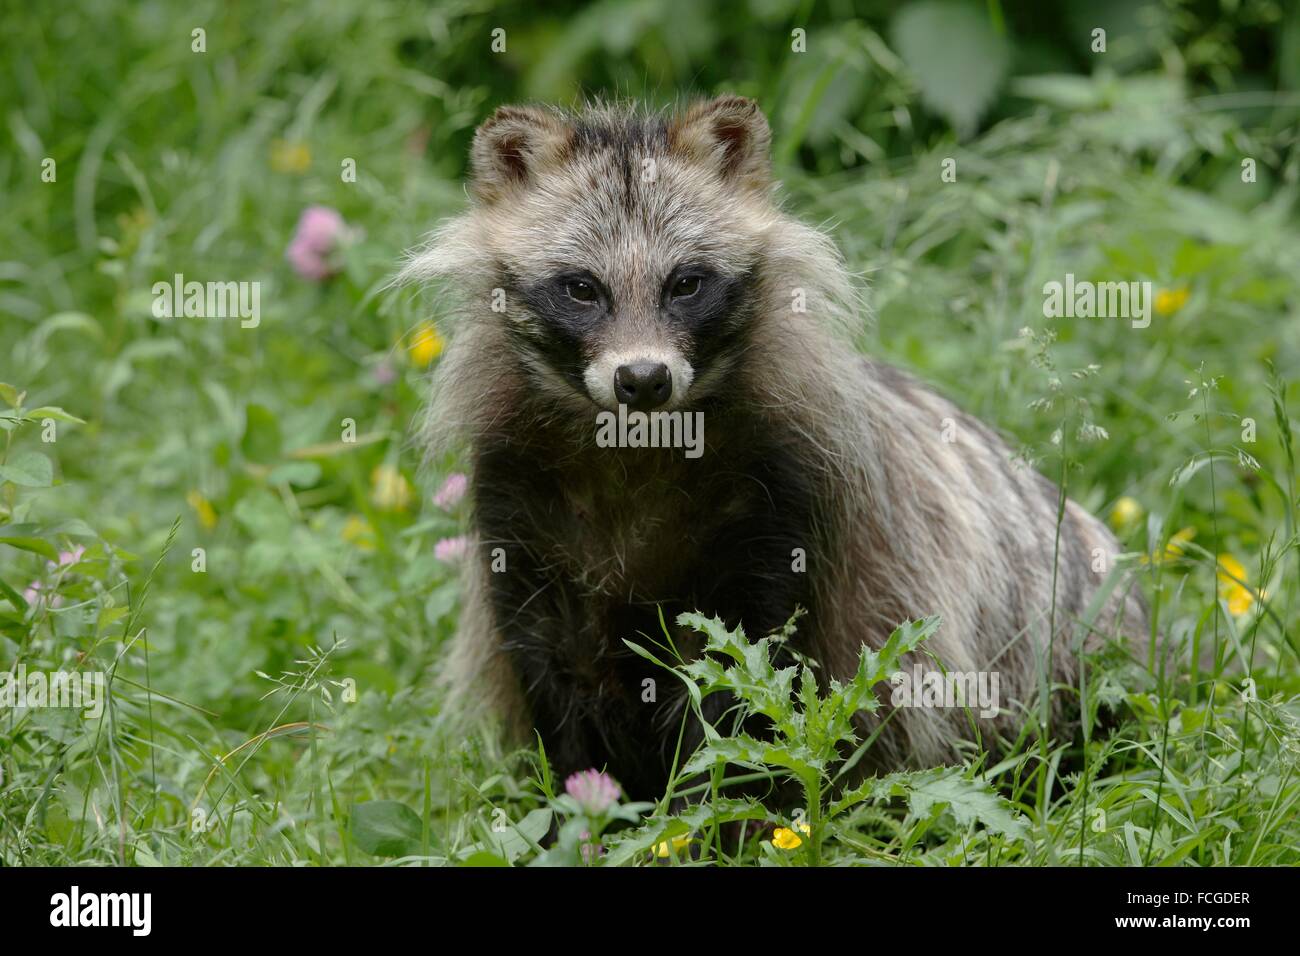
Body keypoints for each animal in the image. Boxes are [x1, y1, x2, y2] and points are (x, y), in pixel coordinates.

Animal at [397, 96, 1151, 799]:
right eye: (581, 288)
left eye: (686, 283)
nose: (642, 379)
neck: (634, 446)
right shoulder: (518, 501)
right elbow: (549, 667)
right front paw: (581, 812)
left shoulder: (779, 489)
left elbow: (744, 674)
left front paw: (713, 815)